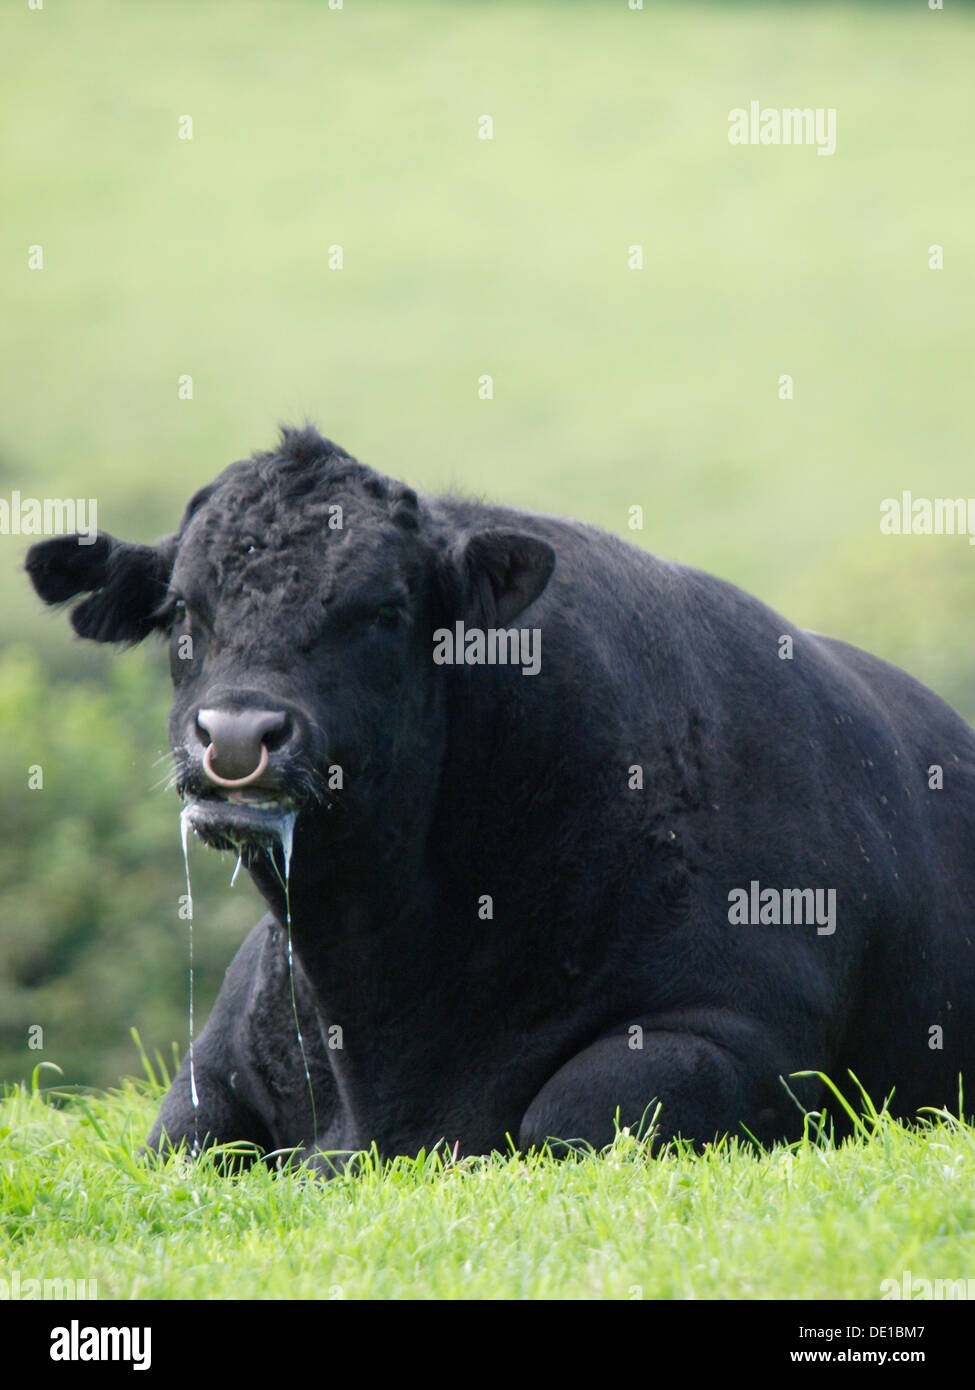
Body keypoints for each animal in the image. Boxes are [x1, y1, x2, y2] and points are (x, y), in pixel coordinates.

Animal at [24, 425, 975, 1169]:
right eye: (183, 609)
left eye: (383, 609)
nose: (233, 735)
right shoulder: (208, 1072)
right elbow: (180, 1139)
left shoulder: (736, 1029)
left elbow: (570, 1114)